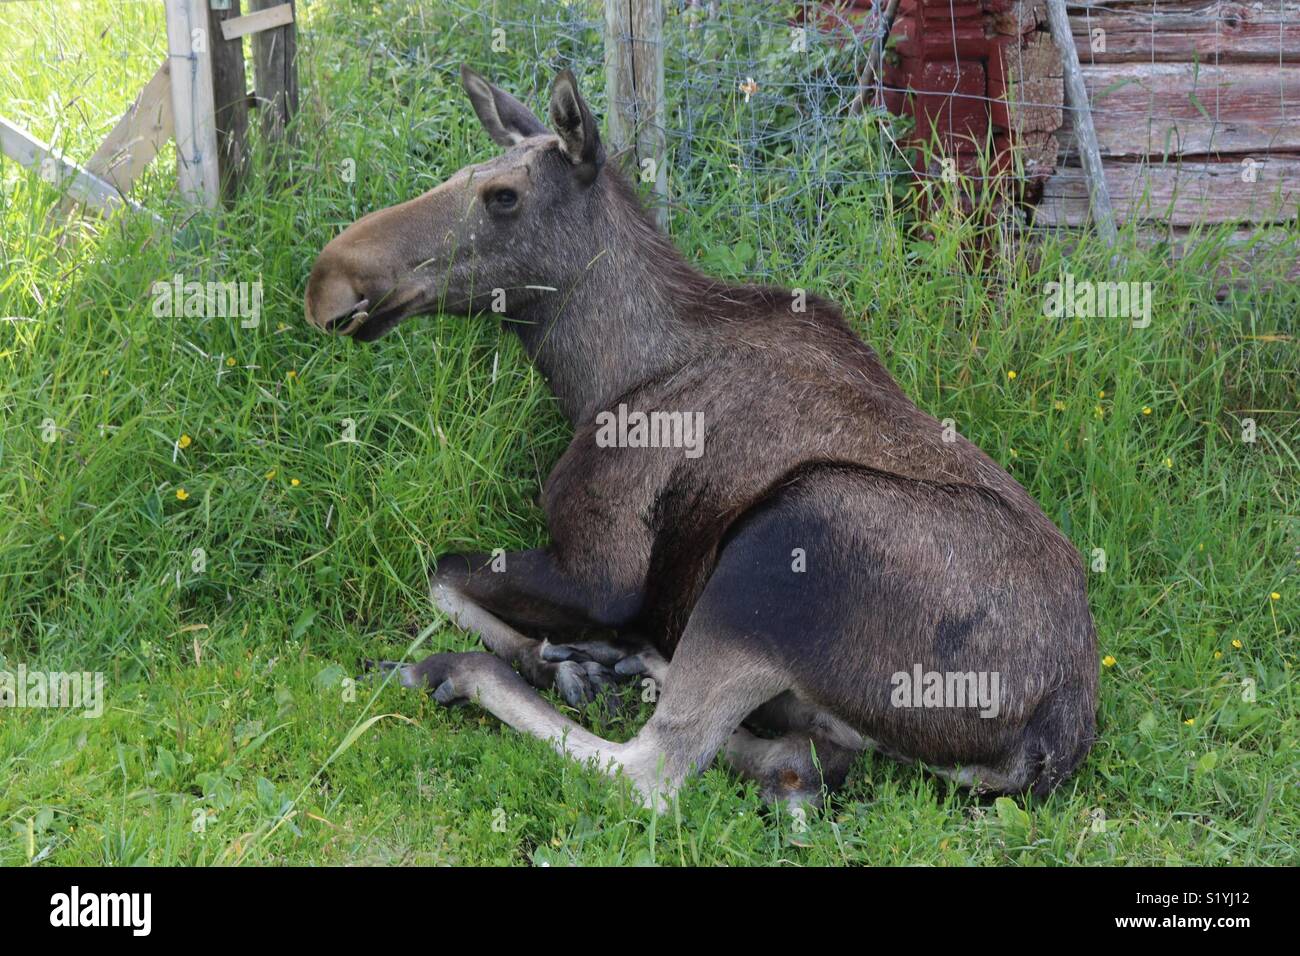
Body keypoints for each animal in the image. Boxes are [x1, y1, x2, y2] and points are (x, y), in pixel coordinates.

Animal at [303, 66, 1099, 810]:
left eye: (503, 195)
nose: (327, 280)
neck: (595, 376)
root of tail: (1043, 744)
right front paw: (570, 659)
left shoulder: (600, 573)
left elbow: (440, 571)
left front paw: (552, 660)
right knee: (800, 762)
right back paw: (634, 662)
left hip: (783, 543)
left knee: (653, 771)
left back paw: (457, 668)